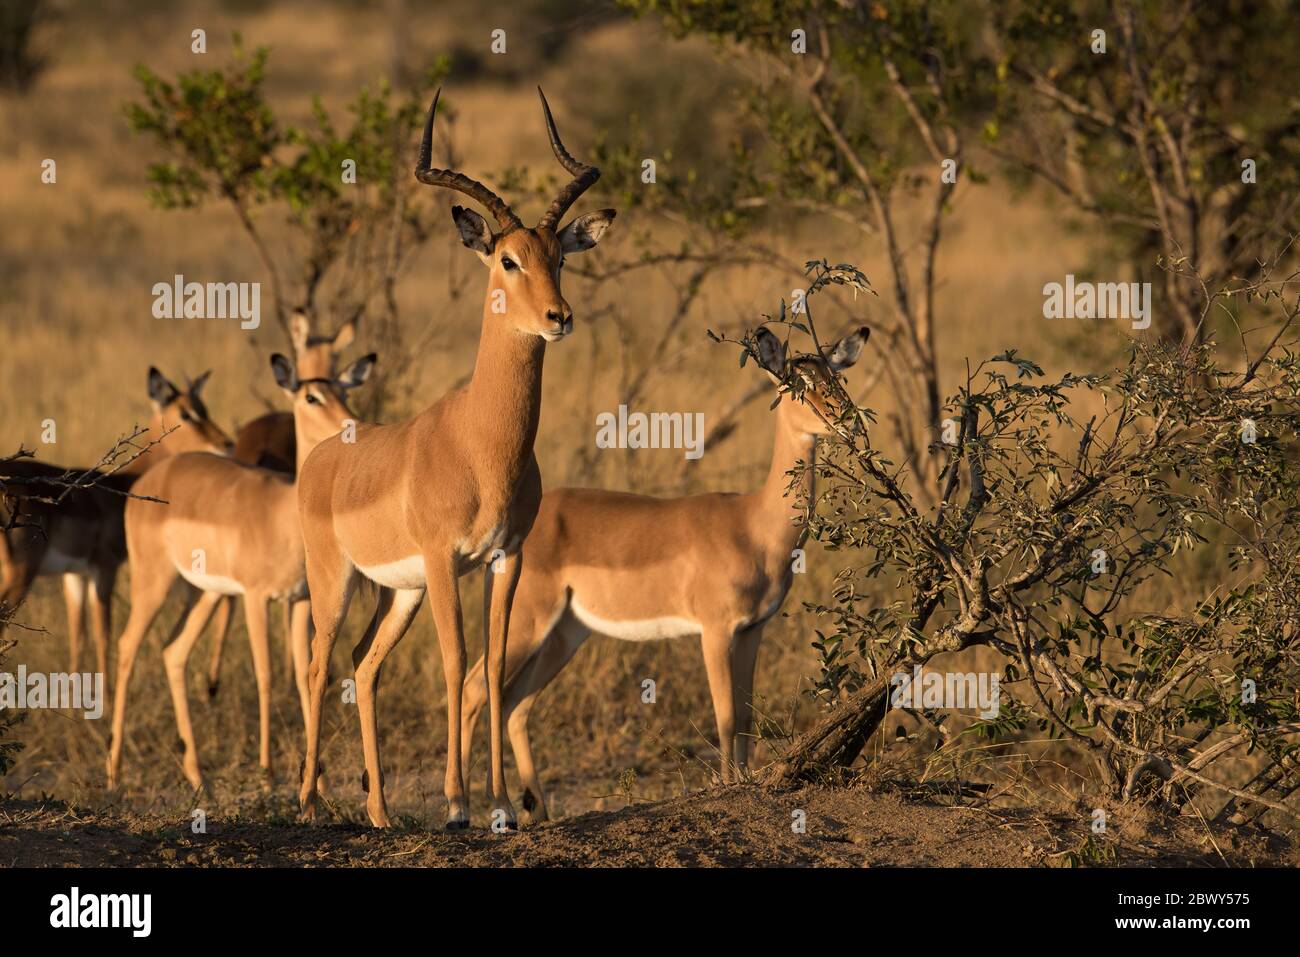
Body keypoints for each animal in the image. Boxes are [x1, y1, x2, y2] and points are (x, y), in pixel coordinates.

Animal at [0, 368, 234, 678]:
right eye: (185, 413)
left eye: (204, 408)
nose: (226, 444)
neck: (122, 485)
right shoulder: (104, 567)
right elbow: (104, 638)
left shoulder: (75, 575)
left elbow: (78, 641)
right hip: (20, 571)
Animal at [105, 350, 376, 790]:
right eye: (311, 396)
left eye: (345, 390)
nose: (352, 425)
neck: (282, 514)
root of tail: (151, 478)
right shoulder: (255, 597)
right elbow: (265, 674)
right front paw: (267, 770)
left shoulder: (299, 602)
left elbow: (301, 674)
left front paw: (316, 781)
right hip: (155, 583)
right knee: (128, 645)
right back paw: (114, 771)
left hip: (205, 593)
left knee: (173, 651)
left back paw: (197, 774)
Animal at [296, 88, 615, 829]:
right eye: (507, 260)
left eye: (561, 255)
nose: (558, 317)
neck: (481, 445)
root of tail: (321, 456)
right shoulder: (445, 561)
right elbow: (455, 659)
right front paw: (456, 803)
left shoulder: (506, 557)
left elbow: (490, 667)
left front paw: (499, 805)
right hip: (337, 581)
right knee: (320, 661)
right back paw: (308, 802)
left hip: (400, 592)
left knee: (363, 663)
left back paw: (380, 811)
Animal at [461, 326, 870, 821]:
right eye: (797, 383)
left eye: (836, 377)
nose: (847, 419)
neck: (755, 525)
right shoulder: (715, 630)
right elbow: (725, 715)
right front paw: (726, 787)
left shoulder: (752, 630)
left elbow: (746, 714)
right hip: (528, 624)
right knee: (474, 690)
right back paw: (471, 812)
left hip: (564, 634)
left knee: (516, 706)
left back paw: (535, 812)